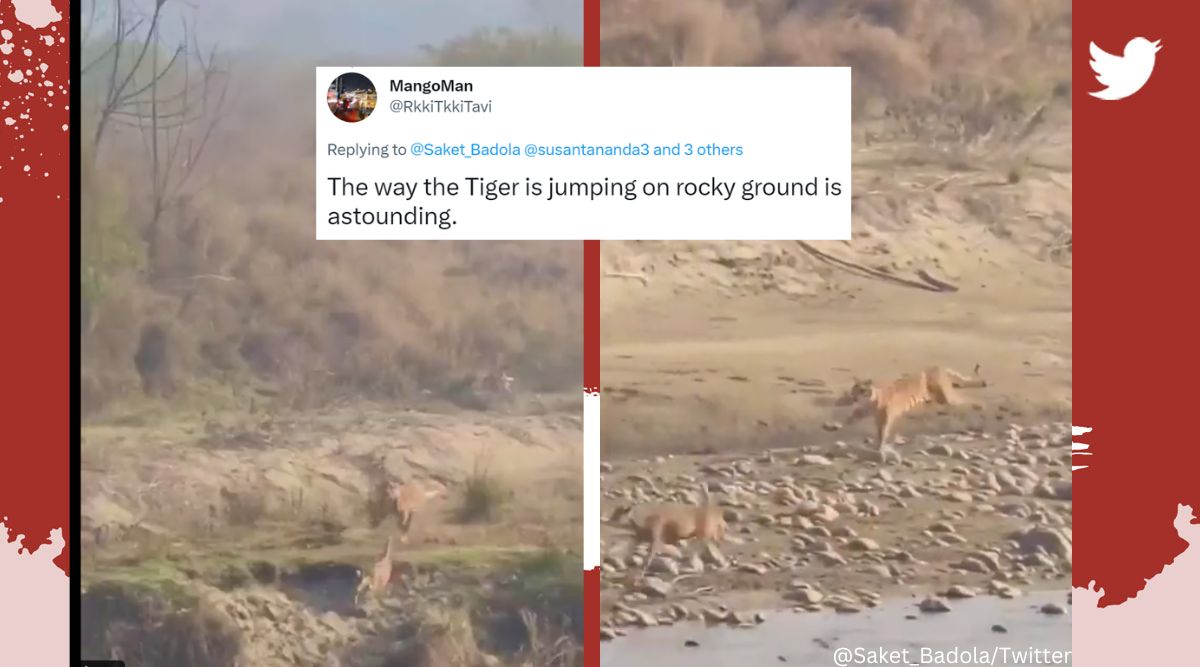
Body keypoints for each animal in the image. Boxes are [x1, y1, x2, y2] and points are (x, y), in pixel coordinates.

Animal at [841, 364, 986, 449]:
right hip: (939, 400)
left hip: (947, 397)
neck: (871, 400)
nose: (853, 398)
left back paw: (978, 410)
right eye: (853, 390)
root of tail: (936, 367)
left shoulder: (884, 418)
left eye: (861, 390)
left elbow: (882, 431)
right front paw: (844, 424)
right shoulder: (866, 411)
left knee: (966, 401)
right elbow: (854, 416)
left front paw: (880, 445)